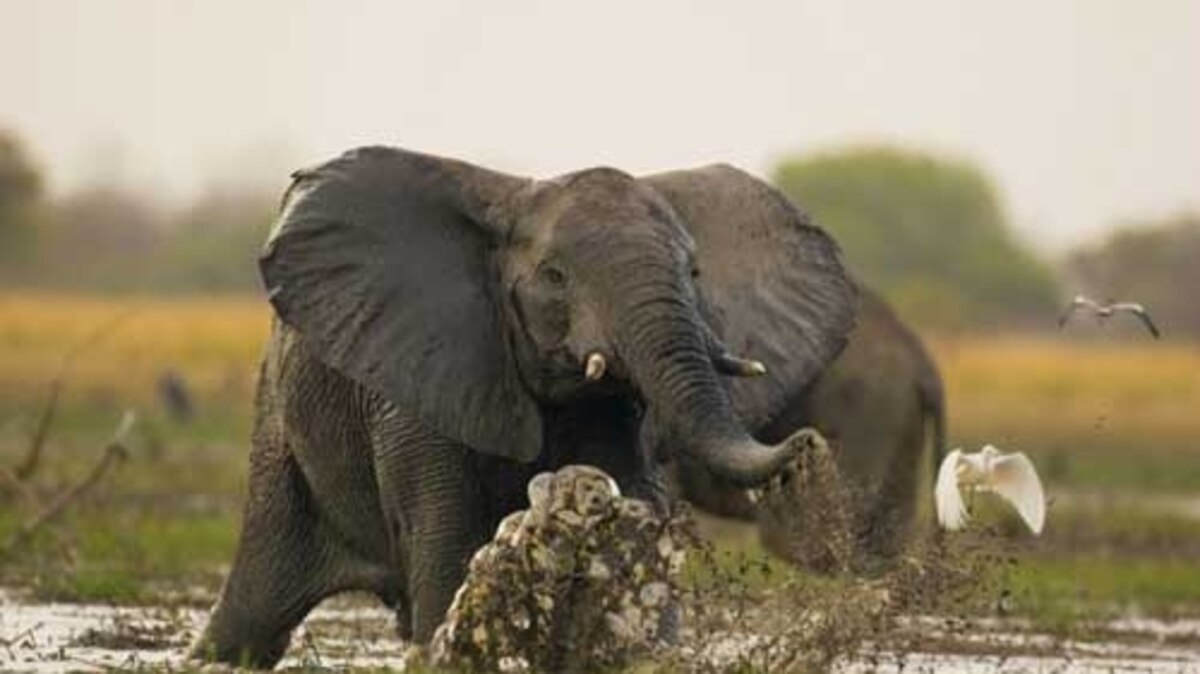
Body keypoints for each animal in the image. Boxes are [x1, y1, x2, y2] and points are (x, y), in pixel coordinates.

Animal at [191, 146, 857, 667]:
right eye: (556, 277)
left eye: (694, 273)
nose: (811, 445)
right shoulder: (424, 380)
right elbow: (447, 548)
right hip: (278, 430)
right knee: (253, 608)